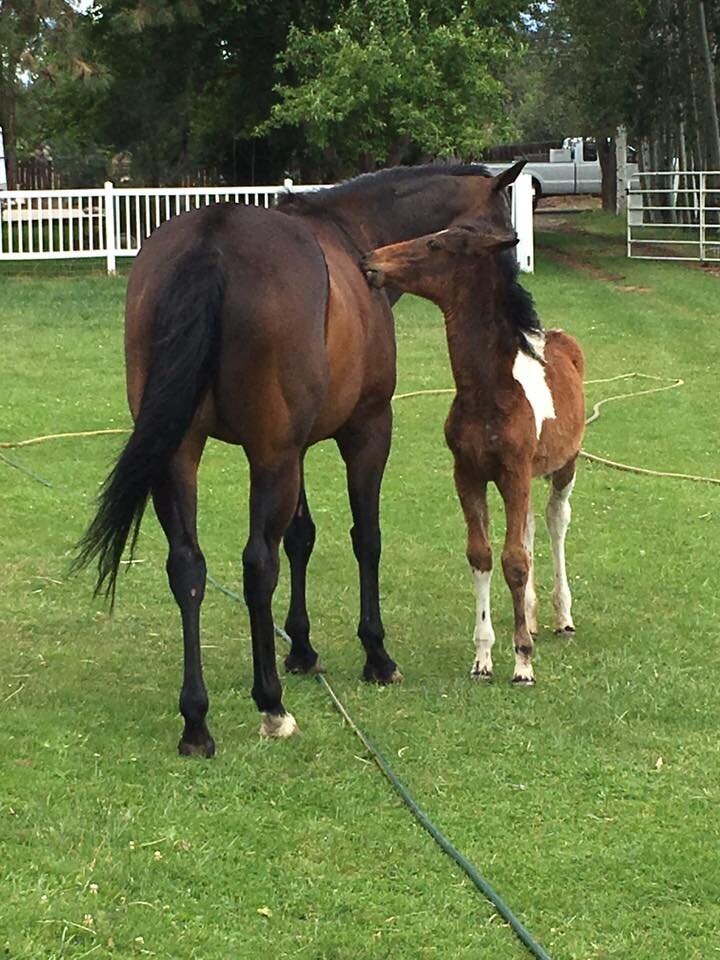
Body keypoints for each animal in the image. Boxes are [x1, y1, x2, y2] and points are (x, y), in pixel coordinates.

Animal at [73, 161, 528, 755]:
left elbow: (301, 536)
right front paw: (376, 655)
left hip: (184, 454)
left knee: (188, 566)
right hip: (271, 457)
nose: (515, 291)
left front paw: (302, 649)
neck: (351, 232)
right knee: (256, 566)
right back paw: (270, 704)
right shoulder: (366, 431)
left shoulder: (298, 447)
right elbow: (365, 538)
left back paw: (196, 720)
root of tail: (212, 239)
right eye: (503, 230)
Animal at [362, 220, 585, 685]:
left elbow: (514, 561)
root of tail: (561, 338)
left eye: (434, 244)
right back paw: (532, 618)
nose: (370, 259)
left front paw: (522, 663)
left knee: (555, 522)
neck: (489, 392)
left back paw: (563, 618)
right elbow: (482, 554)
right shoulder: (468, 474)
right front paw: (483, 659)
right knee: (530, 528)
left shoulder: (513, 473)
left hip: (565, 466)